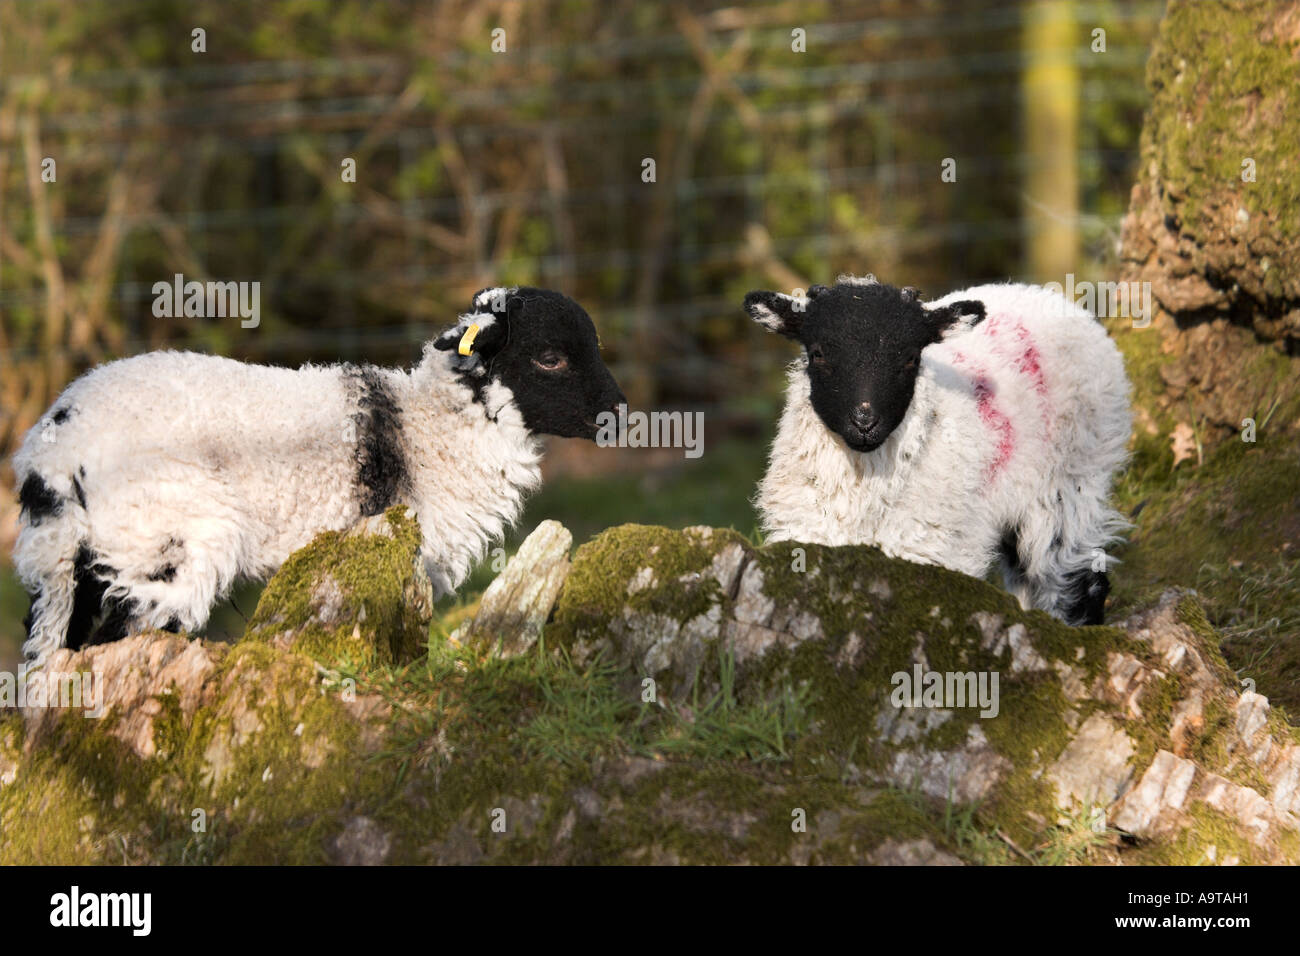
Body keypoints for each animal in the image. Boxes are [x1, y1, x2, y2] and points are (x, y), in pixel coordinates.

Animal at [14, 286, 625, 661]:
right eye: (549, 357)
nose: (622, 416)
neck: (426, 430)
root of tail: (55, 445)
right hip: (165, 543)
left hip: (82, 565)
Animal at [745, 275, 1132, 625]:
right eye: (818, 353)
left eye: (911, 358)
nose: (864, 422)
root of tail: (1046, 295)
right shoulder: (809, 534)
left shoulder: (932, 550)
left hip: (1072, 482)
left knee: (1074, 578)